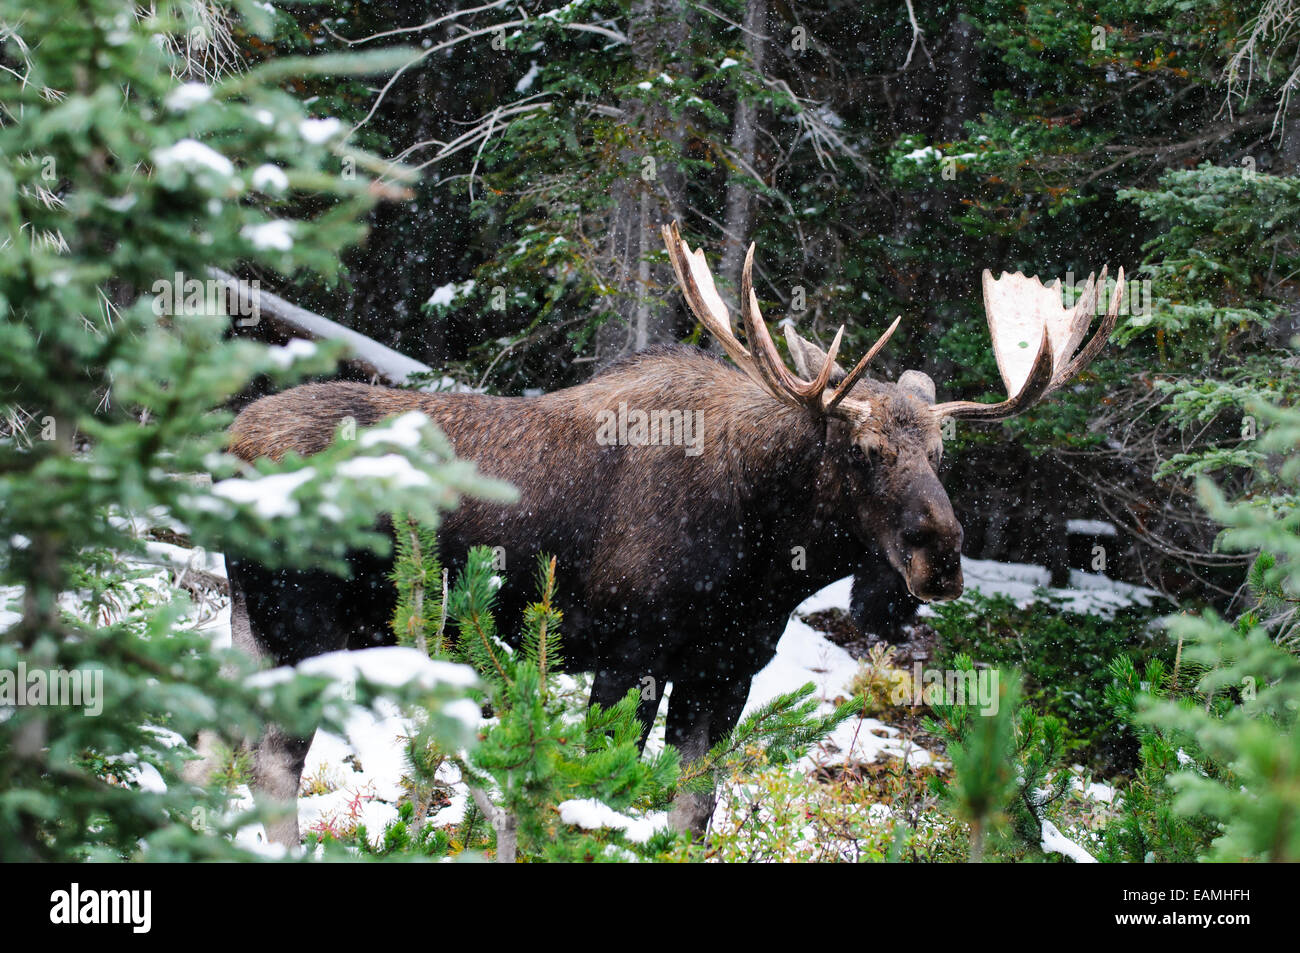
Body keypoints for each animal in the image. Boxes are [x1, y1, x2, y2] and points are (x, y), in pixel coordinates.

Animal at [219, 222, 1123, 843]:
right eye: (866, 450)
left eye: (940, 451)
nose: (943, 558)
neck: (764, 557)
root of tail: (228, 443)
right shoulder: (629, 651)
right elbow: (599, 794)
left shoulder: (725, 667)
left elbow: (693, 809)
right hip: (306, 624)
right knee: (275, 759)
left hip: (257, 622)